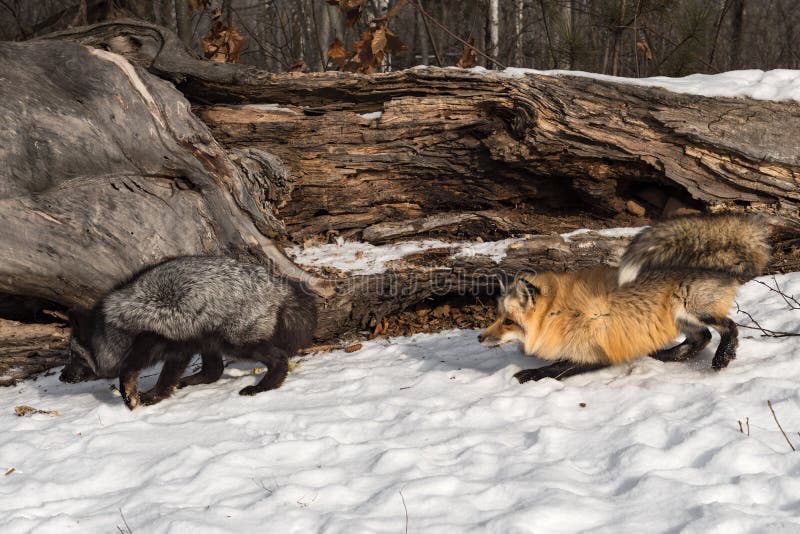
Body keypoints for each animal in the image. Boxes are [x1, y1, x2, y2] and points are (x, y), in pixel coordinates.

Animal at [59, 256, 317, 409]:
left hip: (236, 342)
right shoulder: (181, 346)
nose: (61, 377)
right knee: (214, 370)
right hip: (209, 339)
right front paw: (154, 394)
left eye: (74, 355)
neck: (115, 328)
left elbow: (129, 371)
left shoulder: (156, 341)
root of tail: (277, 286)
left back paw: (263, 387)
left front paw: (140, 397)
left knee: (279, 358)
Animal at [479, 213, 771, 383]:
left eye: (508, 321)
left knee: (728, 328)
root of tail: (718, 263)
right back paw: (659, 356)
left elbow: (556, 369)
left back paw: (722, 357)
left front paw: (530, 374)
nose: (479, 338)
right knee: (701, 338)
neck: (558, 313)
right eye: (498, 317)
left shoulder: (593, 350)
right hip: (679, 318)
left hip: (694, 309)